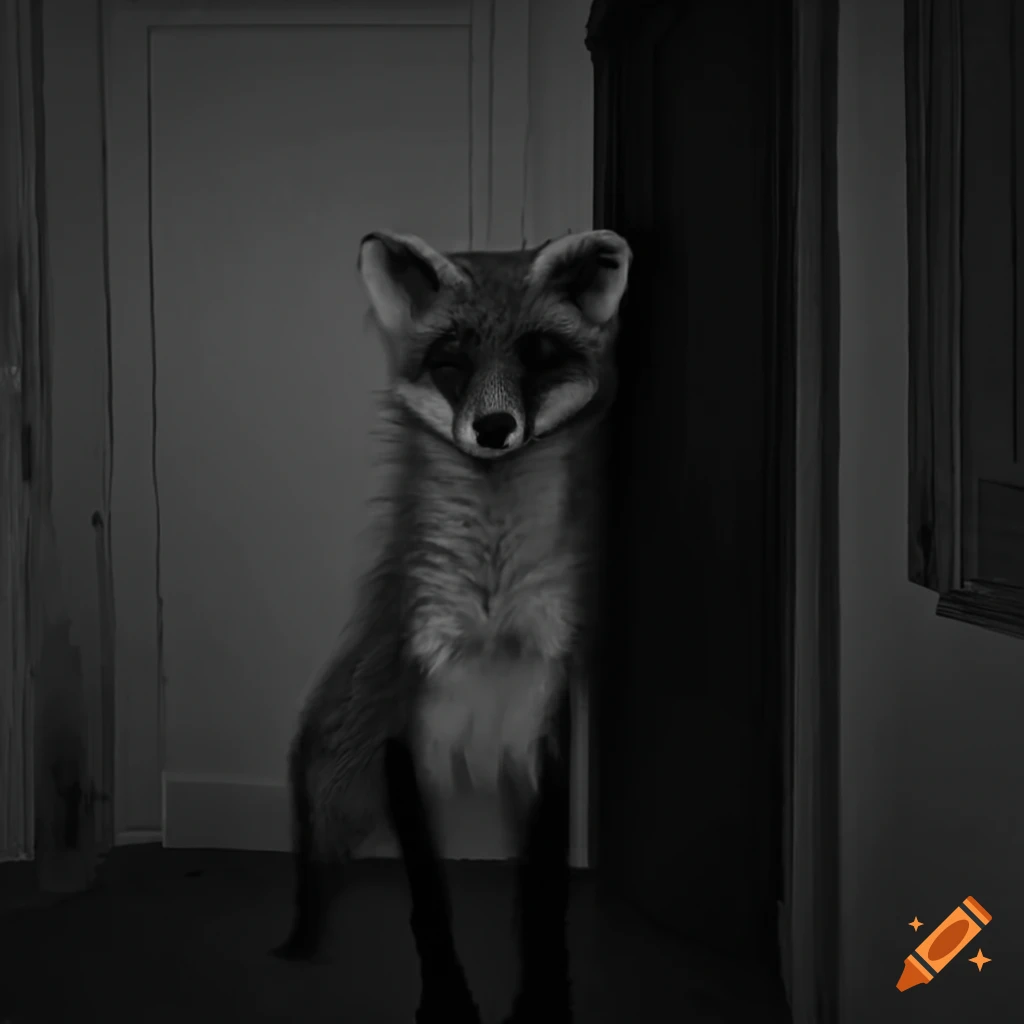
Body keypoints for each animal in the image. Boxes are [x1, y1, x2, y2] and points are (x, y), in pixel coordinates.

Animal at [272, 226, 632, 1024]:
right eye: (451, 362)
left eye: (537, 354)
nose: (494, 429)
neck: (490, 616)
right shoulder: (407, 739)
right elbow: (429, 906)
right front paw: (446, 1003)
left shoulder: (542, 726)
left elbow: (543, 897)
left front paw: (543, 1002)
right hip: (345, 791)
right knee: (314, 860)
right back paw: (302, 941)